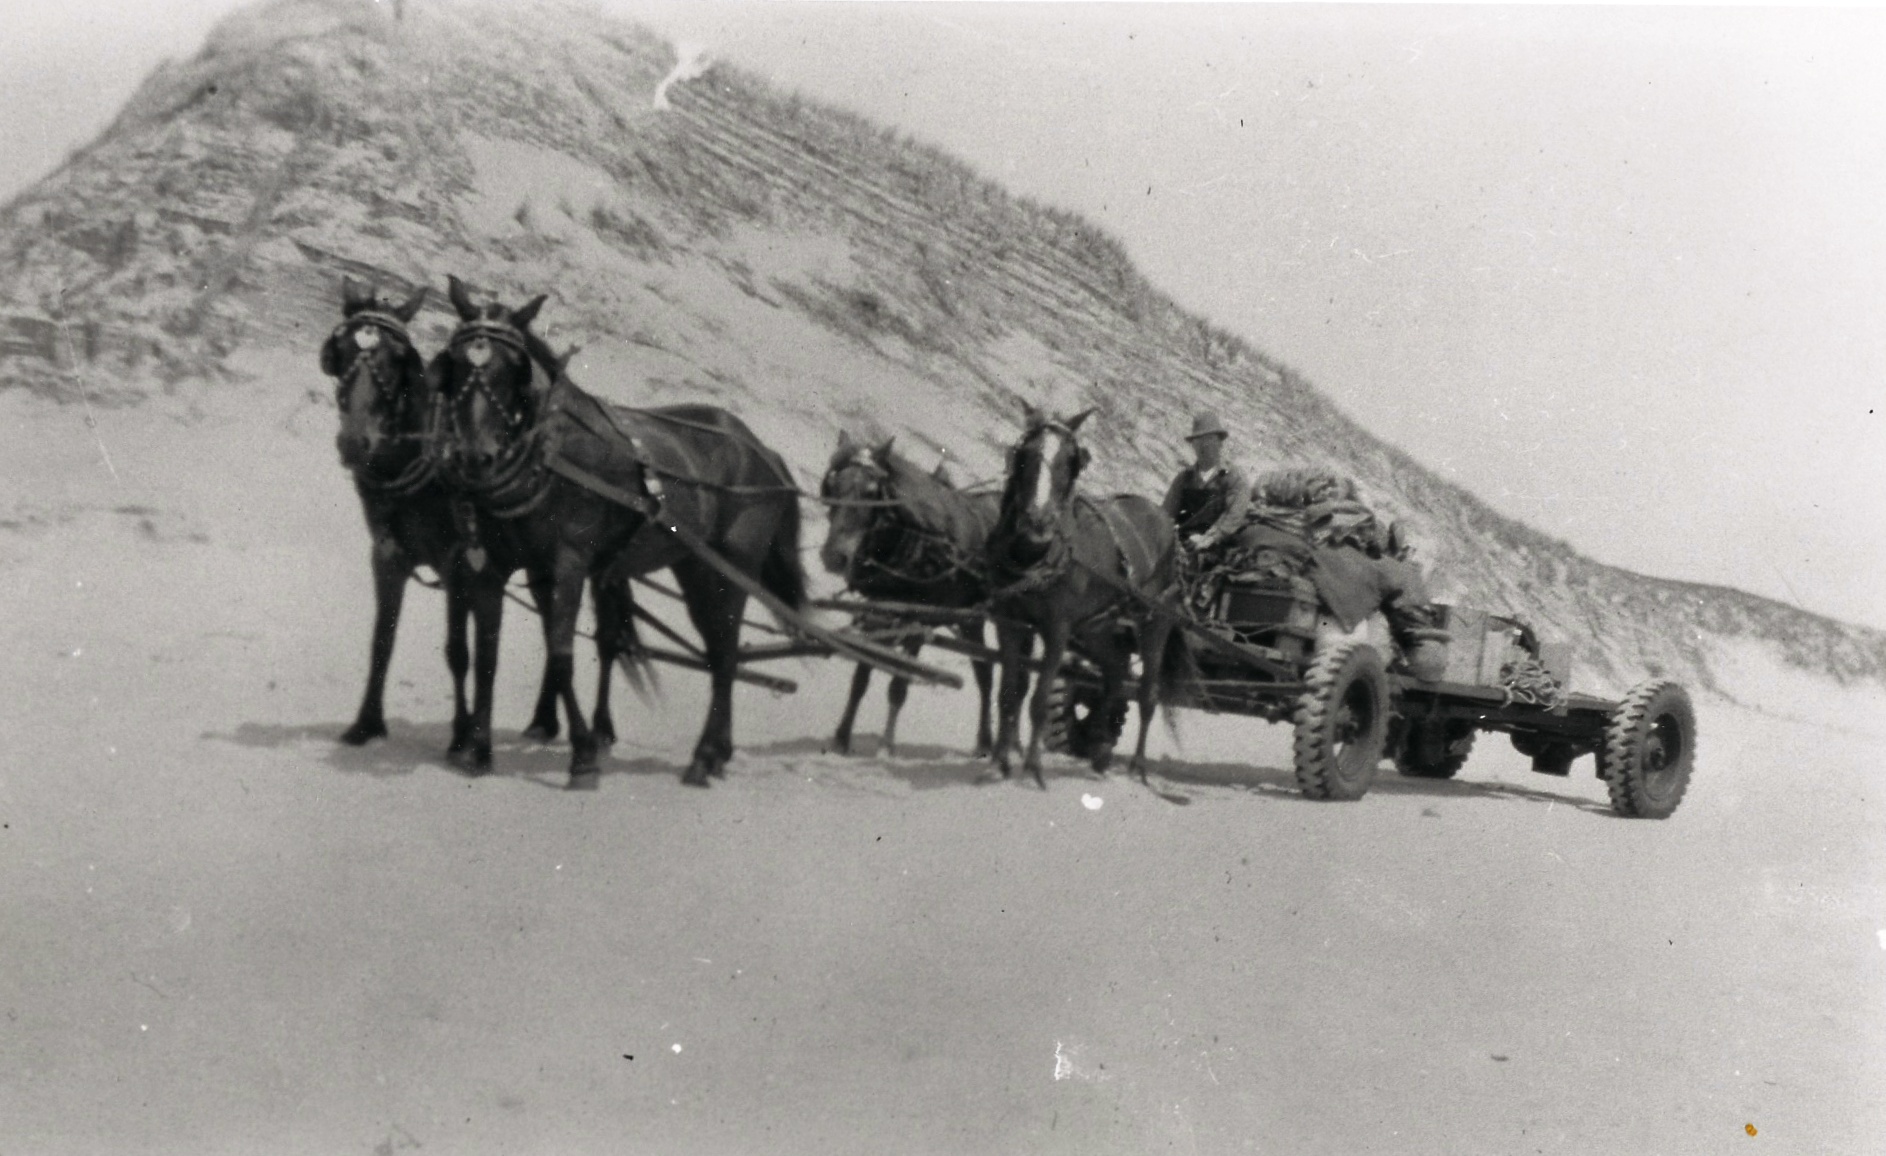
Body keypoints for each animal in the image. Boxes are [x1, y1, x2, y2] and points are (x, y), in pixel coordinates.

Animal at [320, 276, 567, 758]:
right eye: (339, 351)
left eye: (397, 358)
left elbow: (458, 651)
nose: (356, 442)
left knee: (553, 627)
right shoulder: (387, 558)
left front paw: (460, 734)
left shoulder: (457, 564)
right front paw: (366, 723)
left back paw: (545, 719)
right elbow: (382, 640)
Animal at [432, 275, 806, 788]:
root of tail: (763, 450)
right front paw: (478, 750)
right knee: (718, 652)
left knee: (727, 654)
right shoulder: (493, 565)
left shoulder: (568, 564)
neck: (549, 451)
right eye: (453, 363)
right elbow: (488, 653)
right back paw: (717, 753)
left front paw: (583, 756)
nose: (475, 456)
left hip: (729, 572)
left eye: (513, 370)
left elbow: (561, 653)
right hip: (693, 568)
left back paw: (704, 756)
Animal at [817, 431, 999, 757]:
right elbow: (861, 676)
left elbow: (899, 683)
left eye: (871, 491)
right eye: (833, 486)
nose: (834, 557)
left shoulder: (917, 621)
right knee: (985, 670)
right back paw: (985, 741)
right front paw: (842, 737)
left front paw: (886, 745)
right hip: (970, 619)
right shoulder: (878, 612)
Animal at [983, 406, 1192, 788]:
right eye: (1024, 455)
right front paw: (999, 763)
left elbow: (1037, 700)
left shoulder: (1058, 628)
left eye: (1072, 460)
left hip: (1156, 623)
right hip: (1099, 628)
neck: (1036, 553)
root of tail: (1167, 523)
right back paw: (1099, 747)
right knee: (1115, 672)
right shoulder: (1010, 620)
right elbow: (1008, 694)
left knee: (1147, 694)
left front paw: (1032, 769)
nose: (1038, 522)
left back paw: (1137, 766)